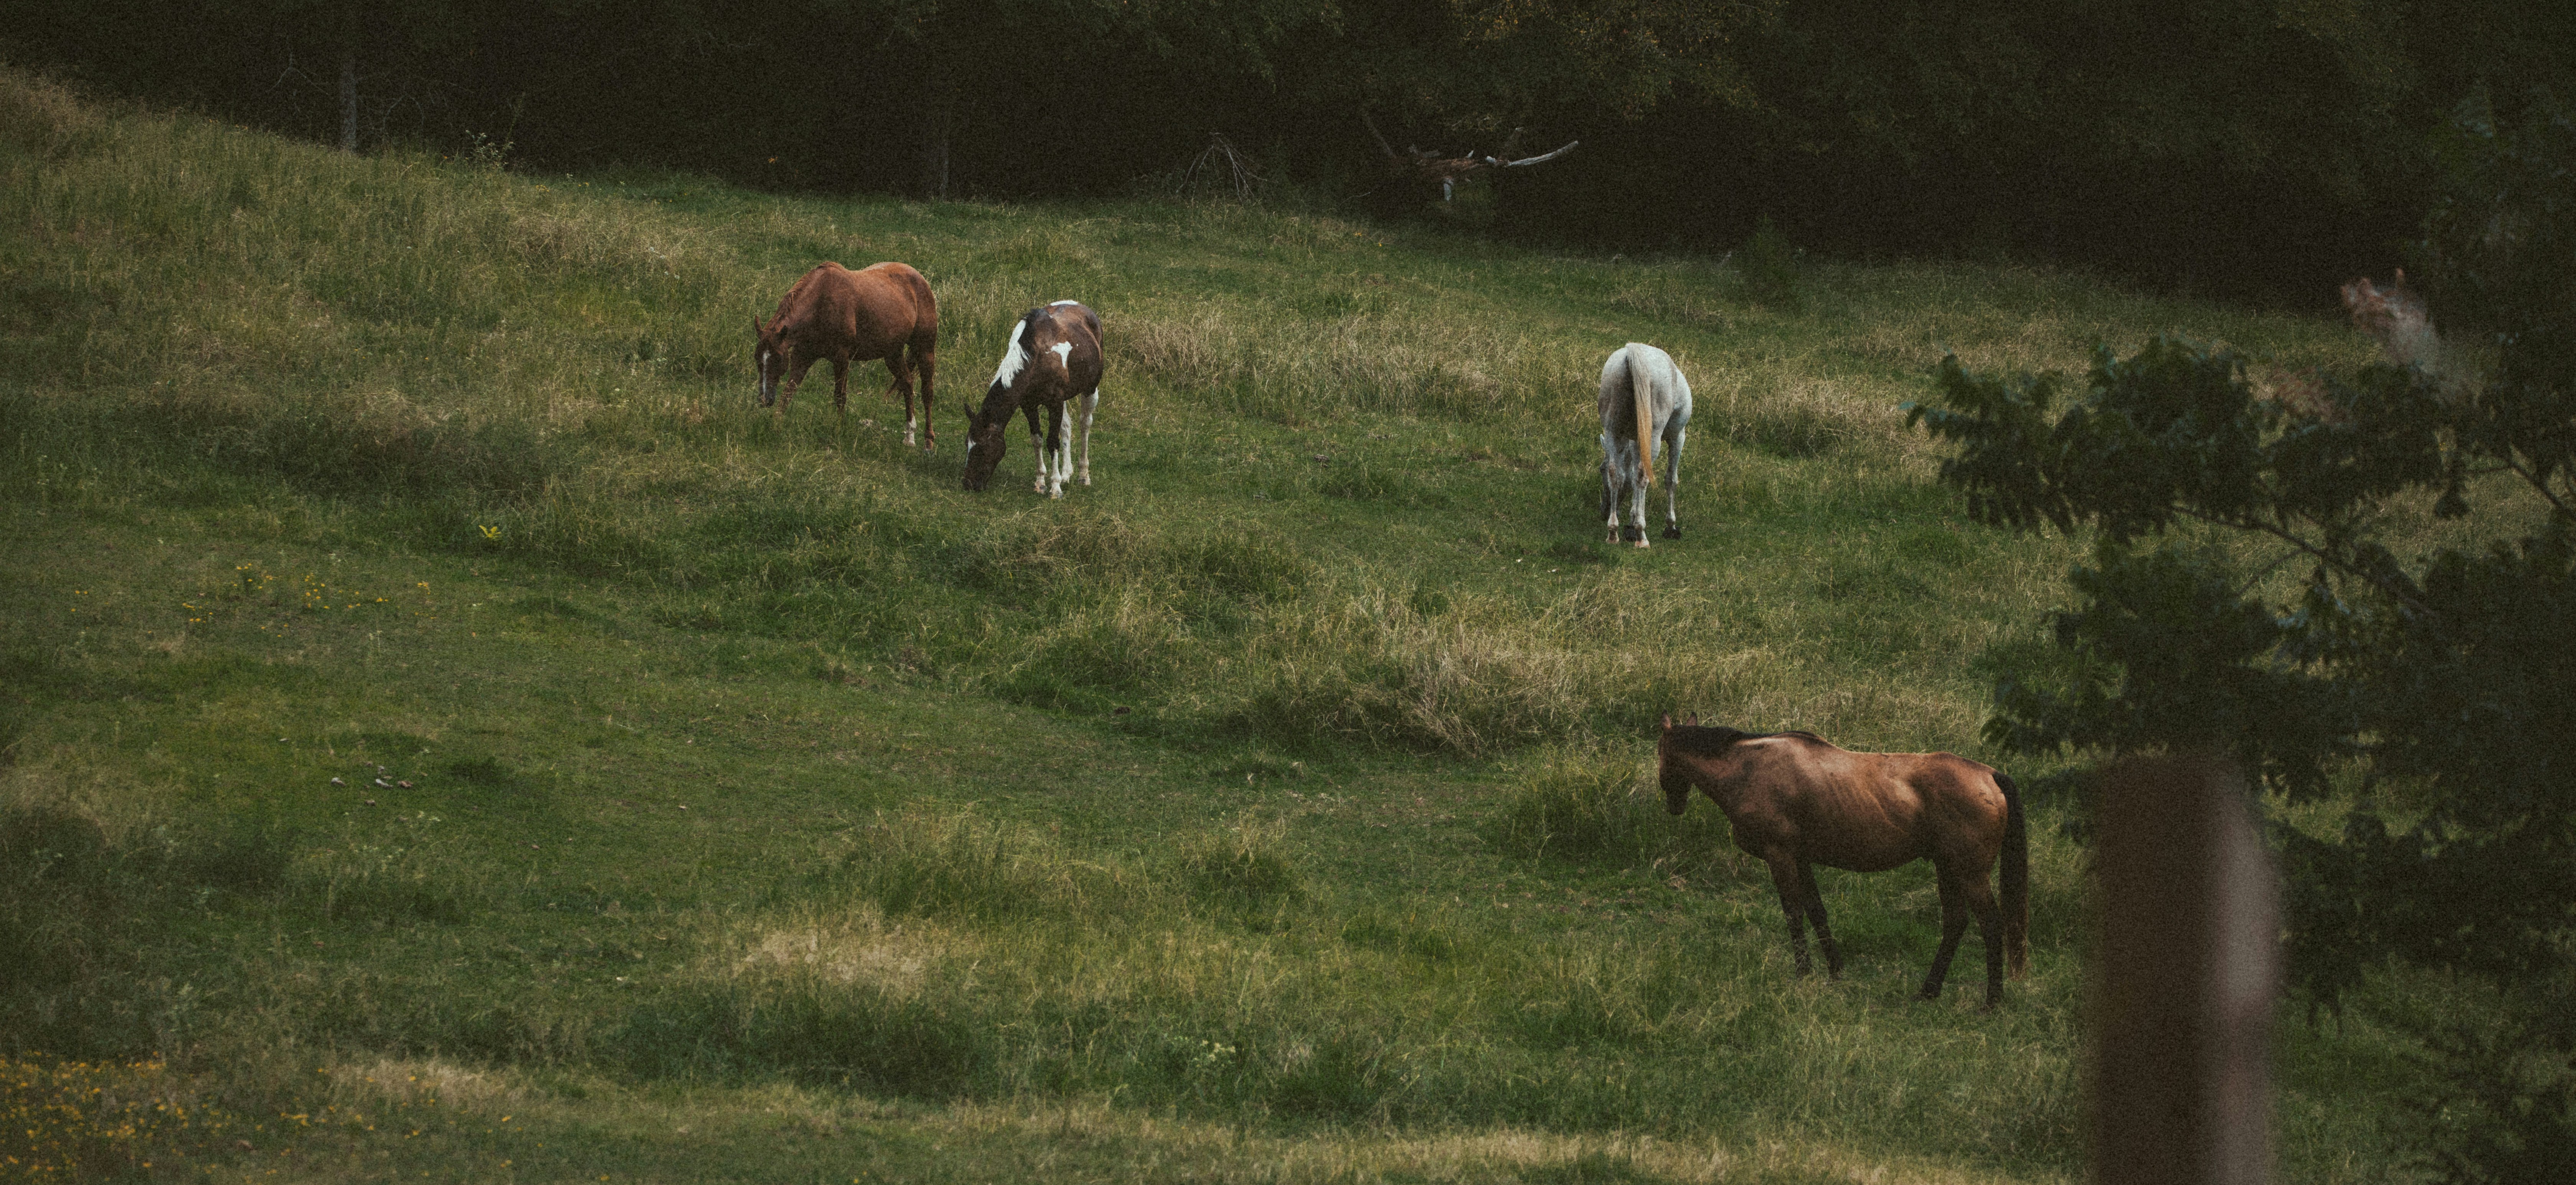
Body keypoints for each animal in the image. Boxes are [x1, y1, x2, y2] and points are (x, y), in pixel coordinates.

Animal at [753, 261, 940, 449]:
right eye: (757, 359)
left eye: (778, 359)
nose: (765, 400)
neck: (820, 302)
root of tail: (919, 278)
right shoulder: (803, 357)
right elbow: (789, 391)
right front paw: (776, 426)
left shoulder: (841, 358)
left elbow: (840, 395)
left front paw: (839, 430)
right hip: (893, 354)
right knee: (907, 383)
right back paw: (910, 436)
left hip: (925, 349)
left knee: (927, 393)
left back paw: (928, 442)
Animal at [962, 301, 1103, 497]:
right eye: (967, 444)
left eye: (982, 448)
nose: (968, 483)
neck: (1037, 355)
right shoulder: (1029, 405)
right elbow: (1037, 439)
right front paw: (1041, 483)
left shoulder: (1054, 403)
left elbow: (1052, 443)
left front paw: (1055, 488)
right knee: (1067, 425)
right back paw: (1067, 474)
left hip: (1091, 389)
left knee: (1085, 424)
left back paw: (1083, 476)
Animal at [1599, 343, 1692, 546]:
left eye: (1600, 471)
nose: (1605, 509)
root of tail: (1632, 352)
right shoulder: (1678, 437)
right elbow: (1670, 479)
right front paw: (1671, 526)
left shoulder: (1635, 442)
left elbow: (1631, 476)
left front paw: (1632, 518)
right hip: (1655, 438)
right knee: (1643, 476)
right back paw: (1642, 536)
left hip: (1613, 432)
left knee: (1616, 473)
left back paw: (1613, 532)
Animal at [1656, 714, 2029, 1009]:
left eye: (1659, 752)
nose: (1673, 803)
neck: (1750, 767)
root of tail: (1990, 774)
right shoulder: (1800, 858)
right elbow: (1816, 911)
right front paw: (1834, 971)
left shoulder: (1780, 855)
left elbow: (1793, 913)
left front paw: (1804, 972)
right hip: (1948, 868)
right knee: (1955, 924)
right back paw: (1928, 991)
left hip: (1970, 874)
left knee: (1991, 925)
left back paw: (1992, 1000)